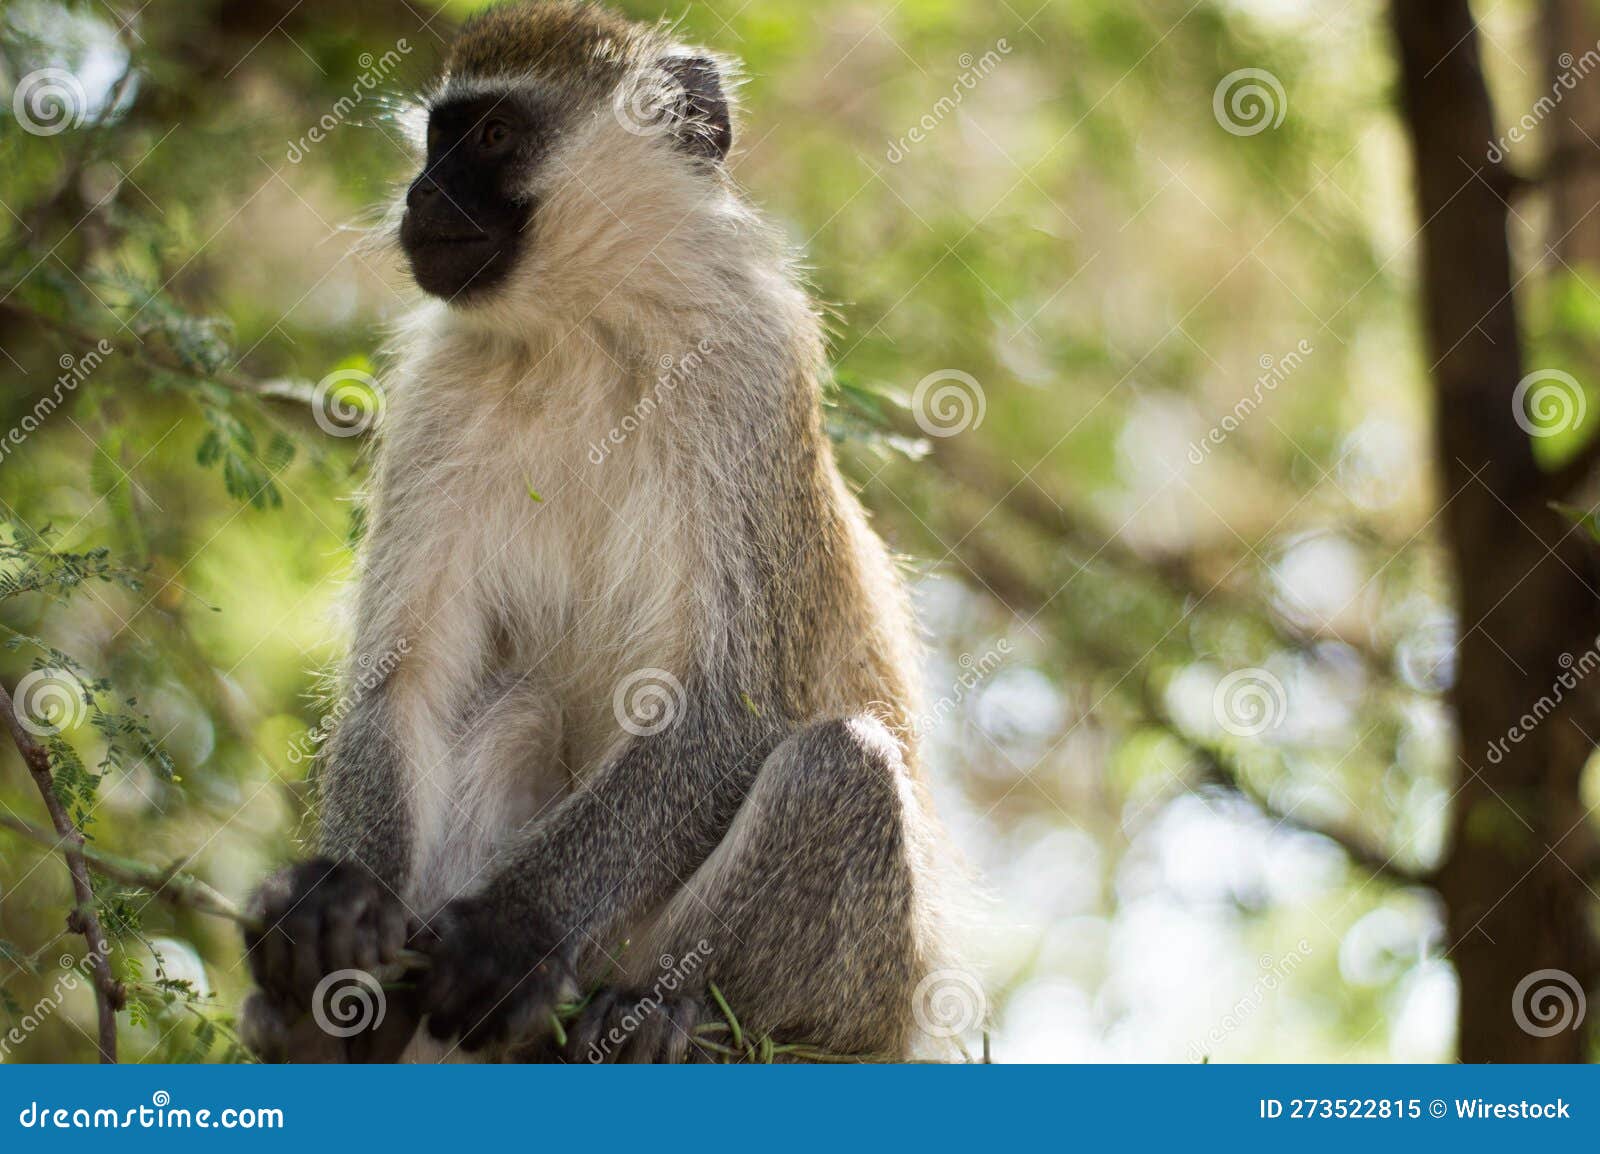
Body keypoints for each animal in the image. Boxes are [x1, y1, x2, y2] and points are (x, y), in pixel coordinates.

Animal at [239, 0, 955, 1064]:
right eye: (436, 137)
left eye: (493, 135)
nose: (418, 193)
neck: (580, 331)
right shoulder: (439, 391)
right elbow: (407, 676)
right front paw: (343, 902)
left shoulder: (750, 368)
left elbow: (728, 704)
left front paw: (515, 932)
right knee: (513, 706)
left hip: (857, 994)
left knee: (844, 770)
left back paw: (659, 1017)